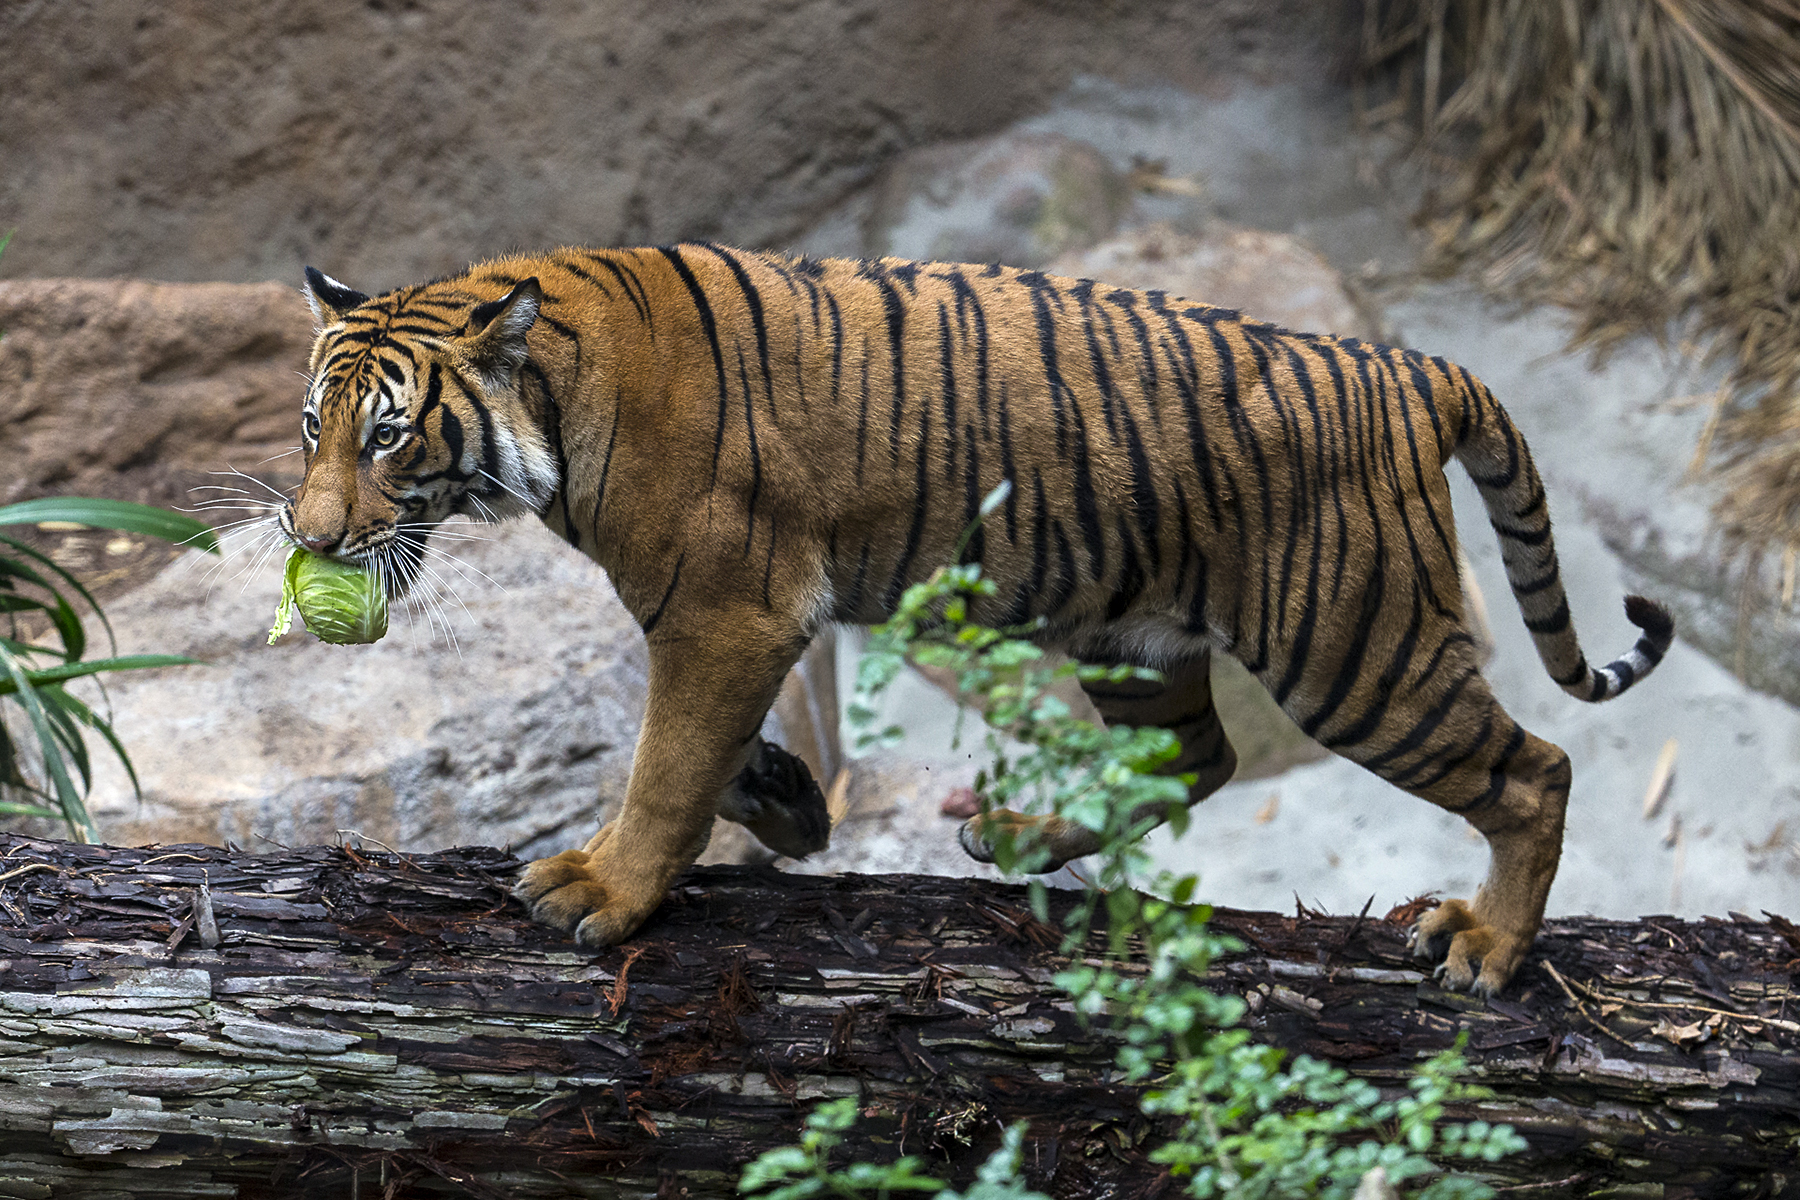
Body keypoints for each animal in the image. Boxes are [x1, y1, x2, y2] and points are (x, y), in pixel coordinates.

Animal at [283, 241, 1673, 997]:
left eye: (389, 436)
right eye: (312, 426)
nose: (312, 536)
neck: (558, 401)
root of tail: (1409, 366)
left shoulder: (730, 613)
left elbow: (665, 765)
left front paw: (602, 892)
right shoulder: (733, 632)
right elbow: (702, 754)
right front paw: (785, 801)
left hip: (1351, 649)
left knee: (1535, 770)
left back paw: (1487, 947)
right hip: (1133, 631)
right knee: (1197, 754)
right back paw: (1016, 837)